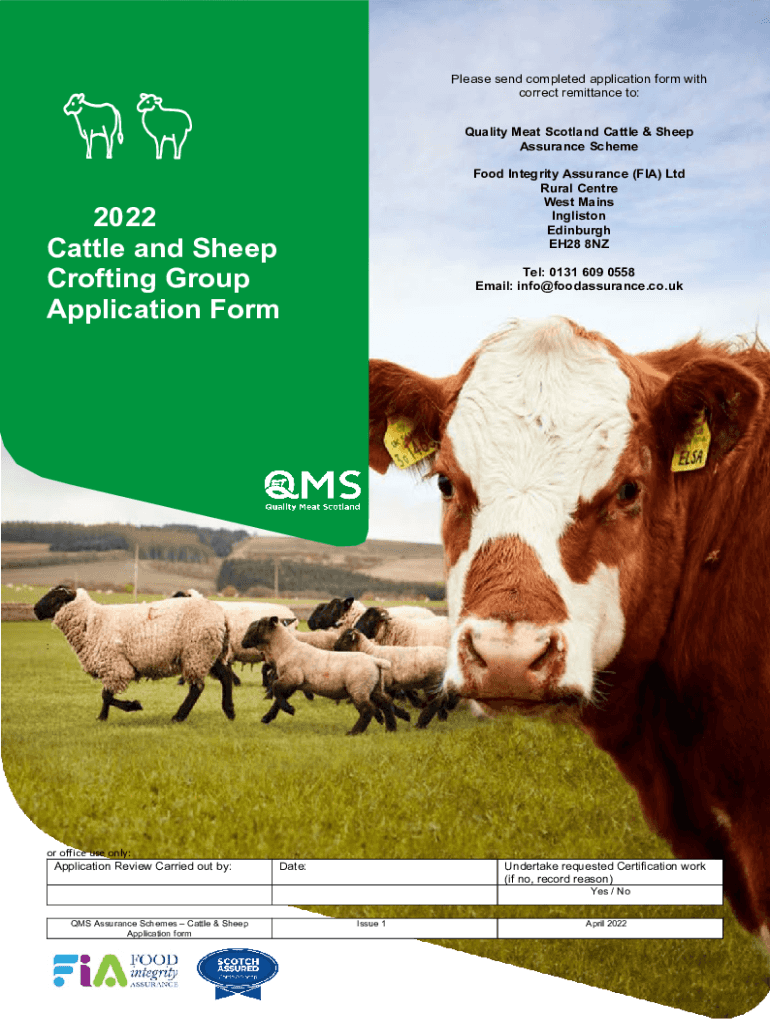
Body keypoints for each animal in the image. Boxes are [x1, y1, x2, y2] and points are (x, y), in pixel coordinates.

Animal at [34, 584, 232, 722]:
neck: (91, 620)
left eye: (55, 598)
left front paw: (132, 706)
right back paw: (229, 710)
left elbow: (106, 695)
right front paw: (103, 717)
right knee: (225, 676)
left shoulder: (115, 666)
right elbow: (106, 696)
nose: (35, 609)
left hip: (197, 652)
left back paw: (179, 716)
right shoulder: (112, 667)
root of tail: (222, 614)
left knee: (197, 687)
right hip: (209, 653)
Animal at [241, 617, 398, 735]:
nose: (242, 642)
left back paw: (354, 732)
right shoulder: (293, 683)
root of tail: (375, 661)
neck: (284, 648)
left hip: (358, 688)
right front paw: (267, 717)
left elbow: (275, 688)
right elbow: (278, 699)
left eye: (256, 627)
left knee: (367, 710)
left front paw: (289, 710)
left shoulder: (292, 677)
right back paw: (391, 728)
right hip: (373, 688)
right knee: (386, 703)